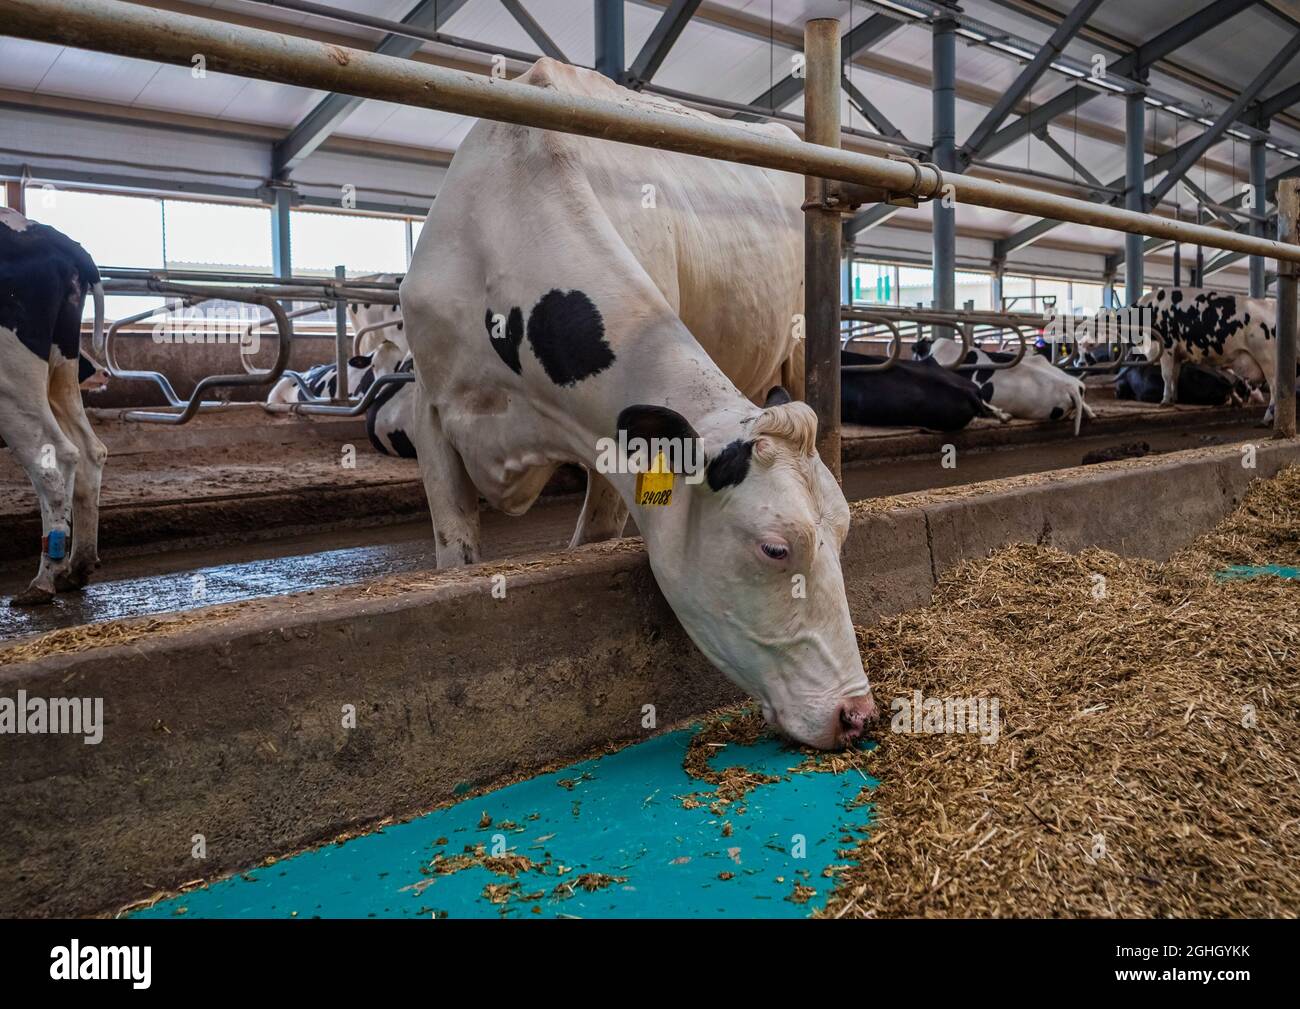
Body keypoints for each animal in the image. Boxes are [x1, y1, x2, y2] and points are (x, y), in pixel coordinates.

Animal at [0, 207, 108, 605]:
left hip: (10, 377)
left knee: (56, 456)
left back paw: (44, 579)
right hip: (60, 371)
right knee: (90, 451)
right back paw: (76, 568)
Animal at [399, 59, 873, 750]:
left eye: (842, 535)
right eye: (774, 548)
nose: (857, 713)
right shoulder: (431, 411)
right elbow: (453, 550)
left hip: (798, 343)